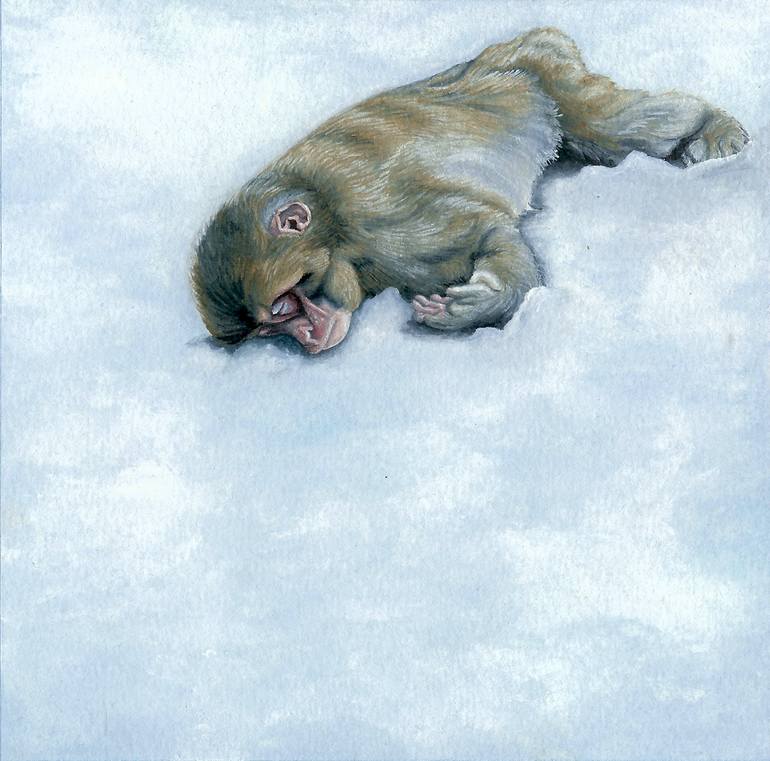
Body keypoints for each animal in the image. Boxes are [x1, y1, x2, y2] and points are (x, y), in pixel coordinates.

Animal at [191, 27, 748, 353]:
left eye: (286, 308)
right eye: (270, 330)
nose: (305, 339)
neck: (334, 229)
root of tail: (516, 42)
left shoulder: (384, 226)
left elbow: (487, 231)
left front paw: (481, 304)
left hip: (548, 74)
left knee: (617, 119)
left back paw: (712, 127)